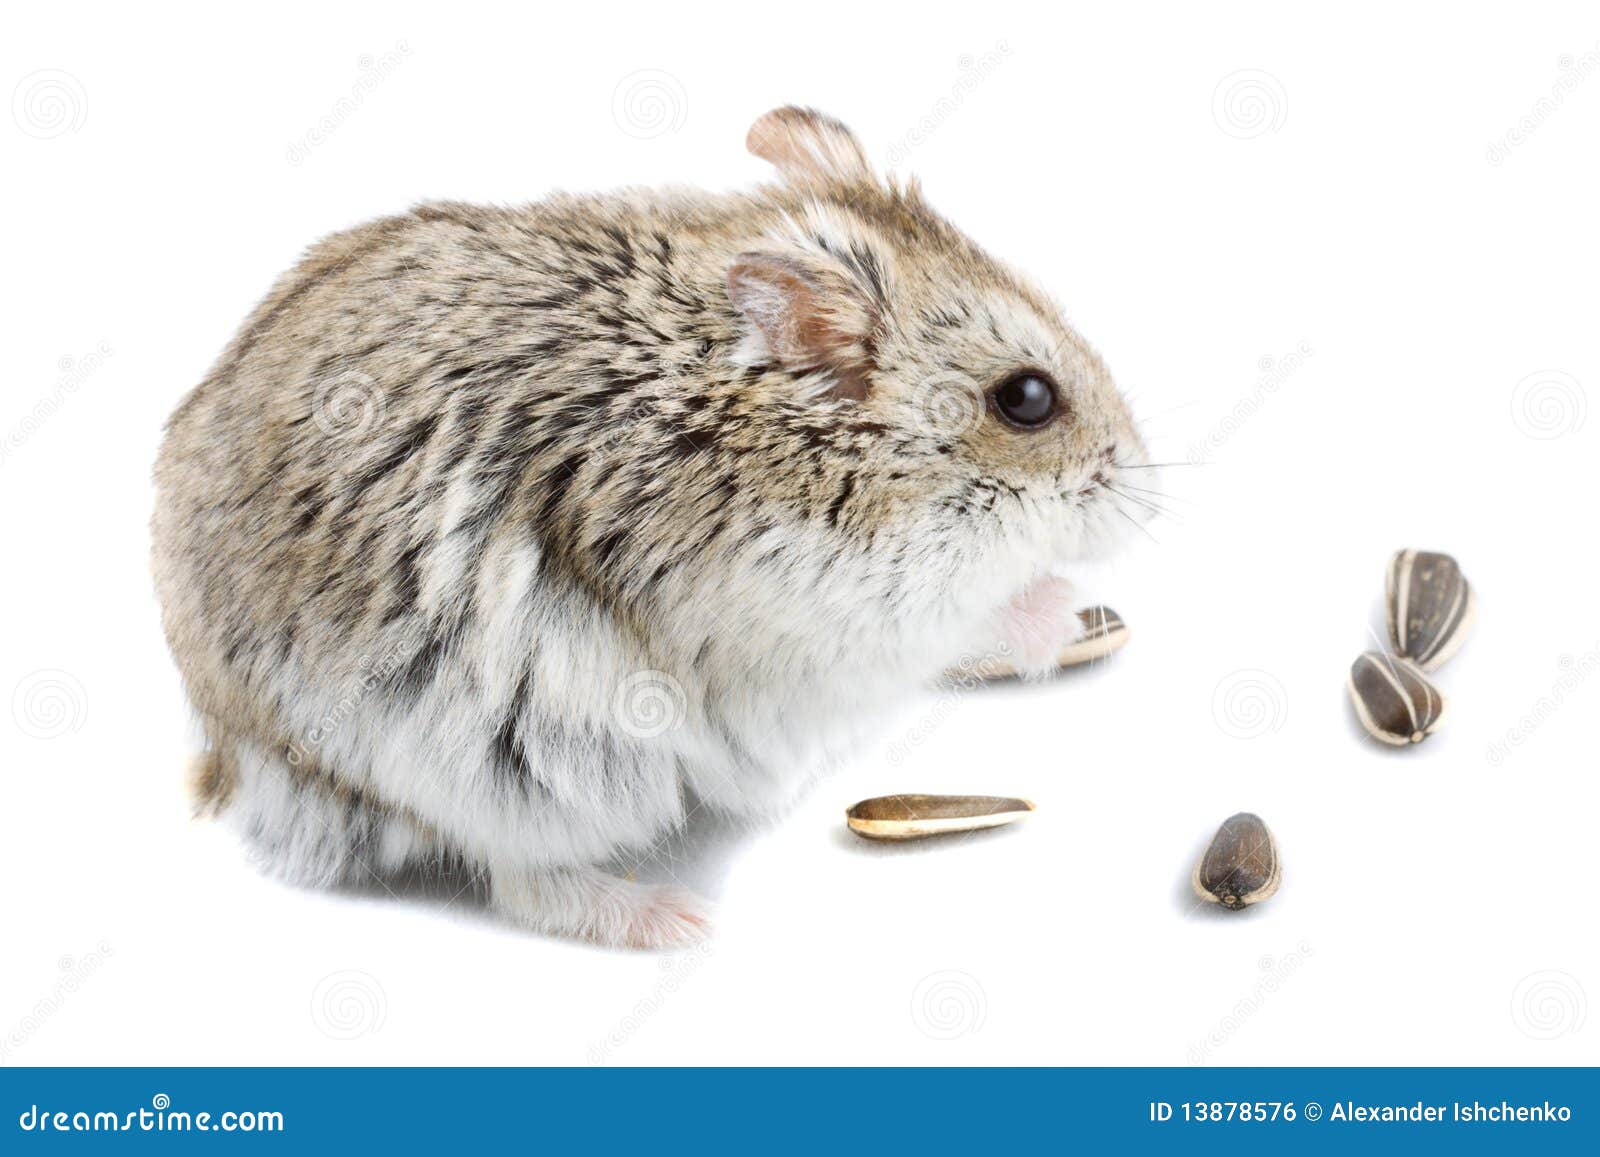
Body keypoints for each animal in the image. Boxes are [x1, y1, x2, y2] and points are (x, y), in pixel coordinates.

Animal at [151, 107, 1150, 947]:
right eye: (1027, 399)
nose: (1141, 490)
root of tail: (229, 761)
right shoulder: (817, 626)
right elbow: (960, 617)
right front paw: (1058, 610)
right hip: (503, 778)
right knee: (527, 884)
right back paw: (674, 919)